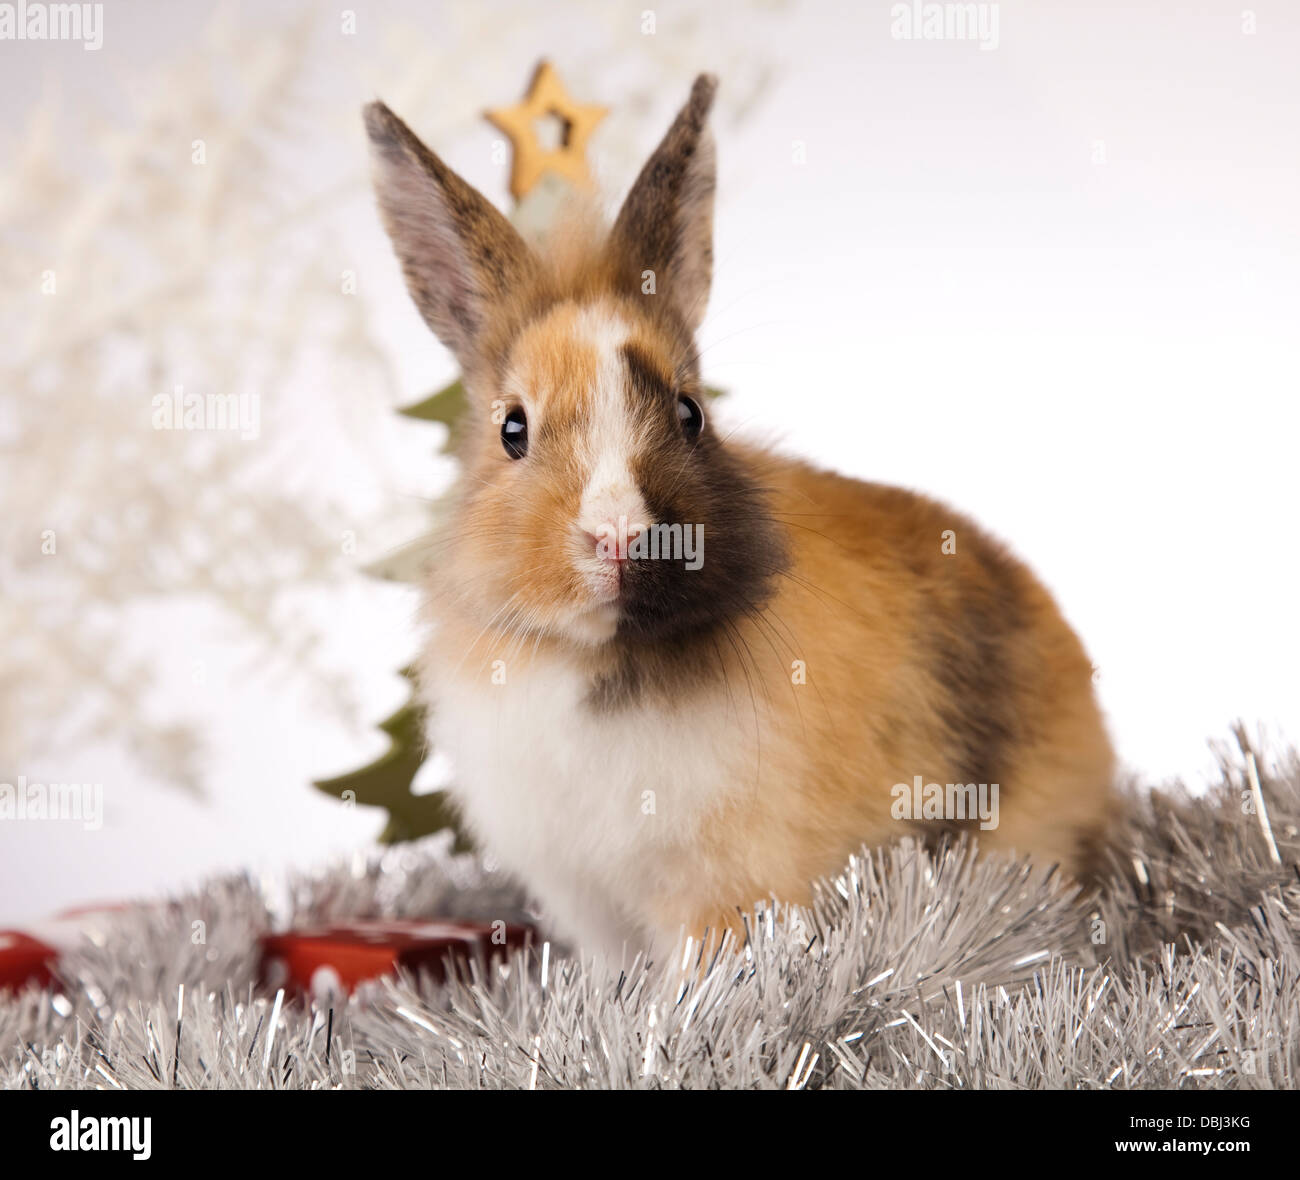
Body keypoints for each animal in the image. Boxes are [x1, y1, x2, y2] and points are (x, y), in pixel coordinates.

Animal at [363, 75, 1116, 961]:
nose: (619, 536)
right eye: (513, 430)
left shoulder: (723, 891)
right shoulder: (589, 903)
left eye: (691, 414)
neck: (607, 658)